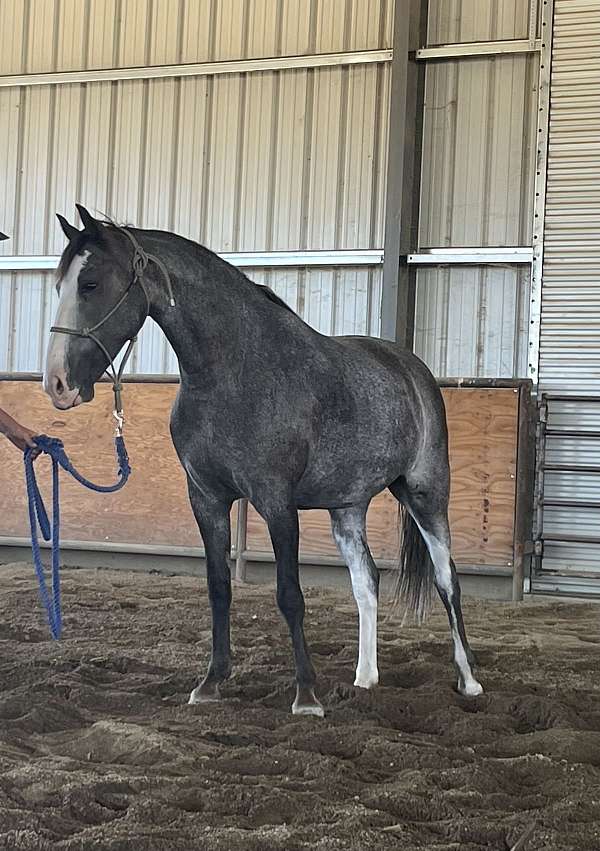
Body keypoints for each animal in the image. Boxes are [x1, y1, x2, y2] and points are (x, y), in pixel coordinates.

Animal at [43, 204, 483, 717]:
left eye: (90, 284)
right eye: (60, 285)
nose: (57, 384)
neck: (232, 372)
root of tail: (412, 369)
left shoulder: (276, 503)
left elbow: (290, 595)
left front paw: (307, 696)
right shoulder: (207, 499)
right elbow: (219, 588)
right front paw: (211, 682)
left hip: (426, 493)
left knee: (447, 580)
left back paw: (469, 680)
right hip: (347, 507)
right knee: (366, 582)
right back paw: (364, 679)